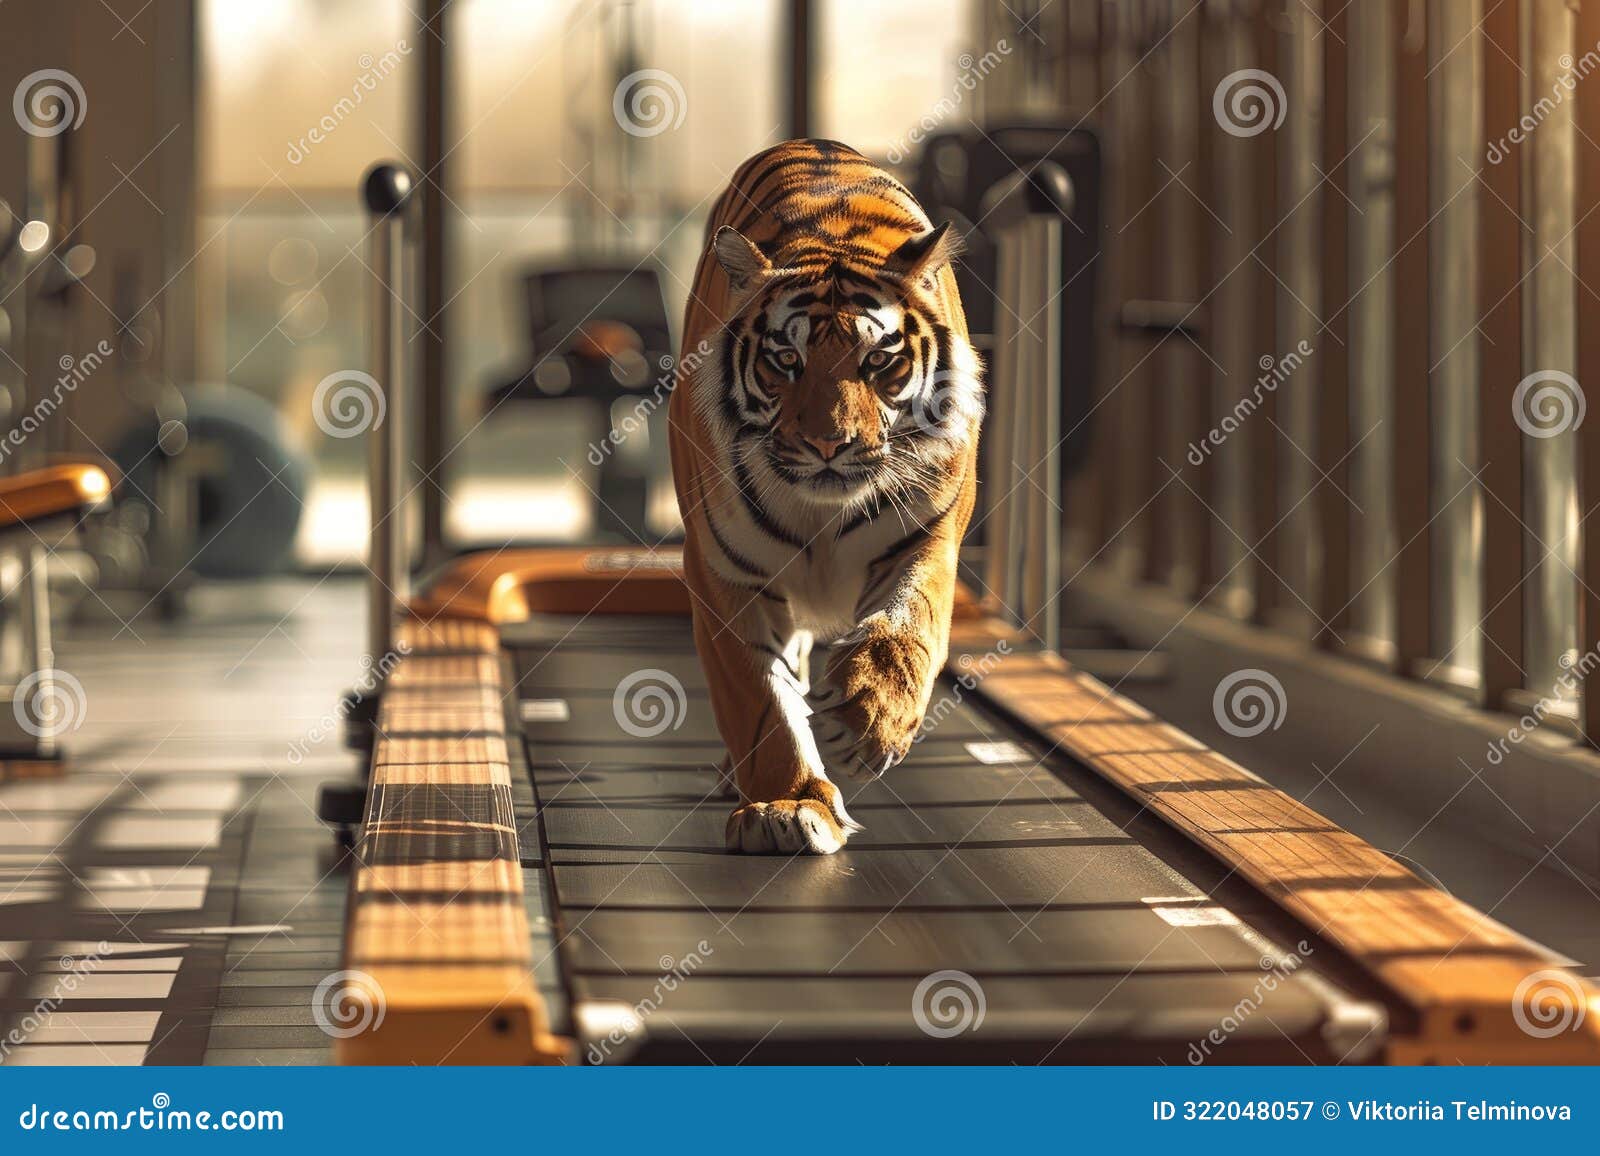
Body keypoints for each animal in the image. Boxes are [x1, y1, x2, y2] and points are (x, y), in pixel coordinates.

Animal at [667, 139, 984, 855]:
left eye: (879, 362)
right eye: (785, 361)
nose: (828, 443)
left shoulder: (929, 539)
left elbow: (908, 628)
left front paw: (867, 715)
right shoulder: (723, 573)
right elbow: (759, 696)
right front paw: (786, 805)